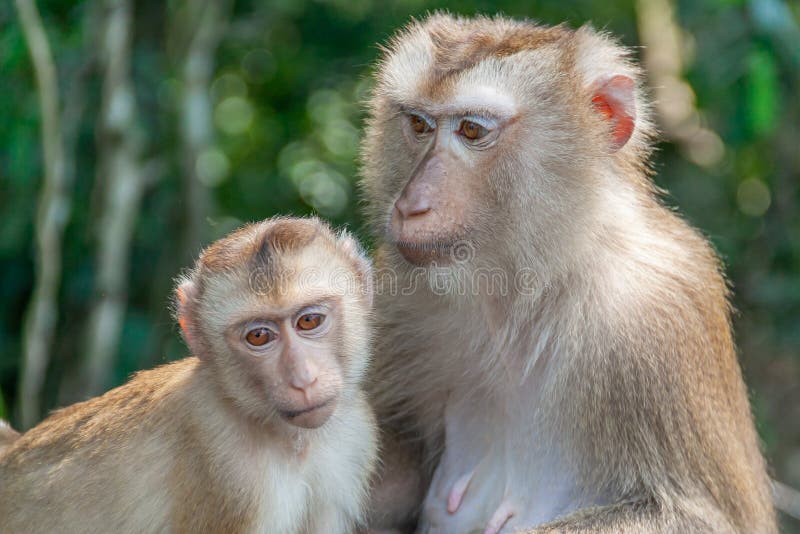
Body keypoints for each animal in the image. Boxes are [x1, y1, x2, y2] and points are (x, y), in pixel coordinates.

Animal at [360, 14, 776, 533]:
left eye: (472, 130)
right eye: (419, 124)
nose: (412, 204)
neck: (531, 288)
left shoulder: (658, 313)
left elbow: (695, 517)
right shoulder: (397, 295)